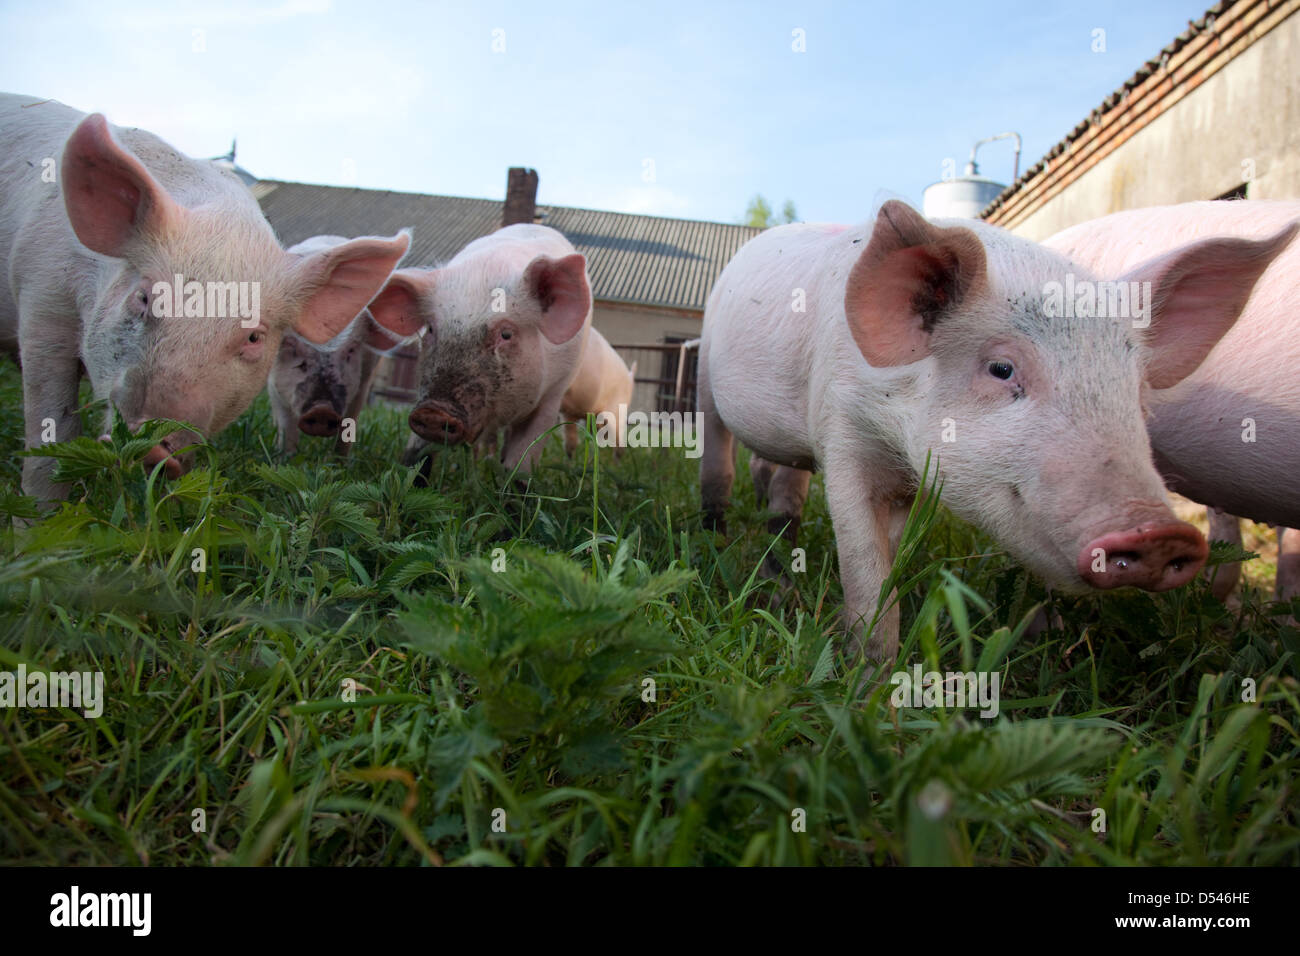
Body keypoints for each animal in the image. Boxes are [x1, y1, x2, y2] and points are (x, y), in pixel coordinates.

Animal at [268, 236, 408, 456]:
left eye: (351, 349)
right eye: (290, 343)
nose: (322, 409)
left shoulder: (364, 380)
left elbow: (349, 424)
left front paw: (338, 461)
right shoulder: (274, 383)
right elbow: (286, 426)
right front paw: (284, 456)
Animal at [366, 224, 592, 474]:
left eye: (506, 334)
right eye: (431, 329)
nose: (435, 411)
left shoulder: (553, 394)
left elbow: (522, 462)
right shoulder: (424, 396)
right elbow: (418, 454)